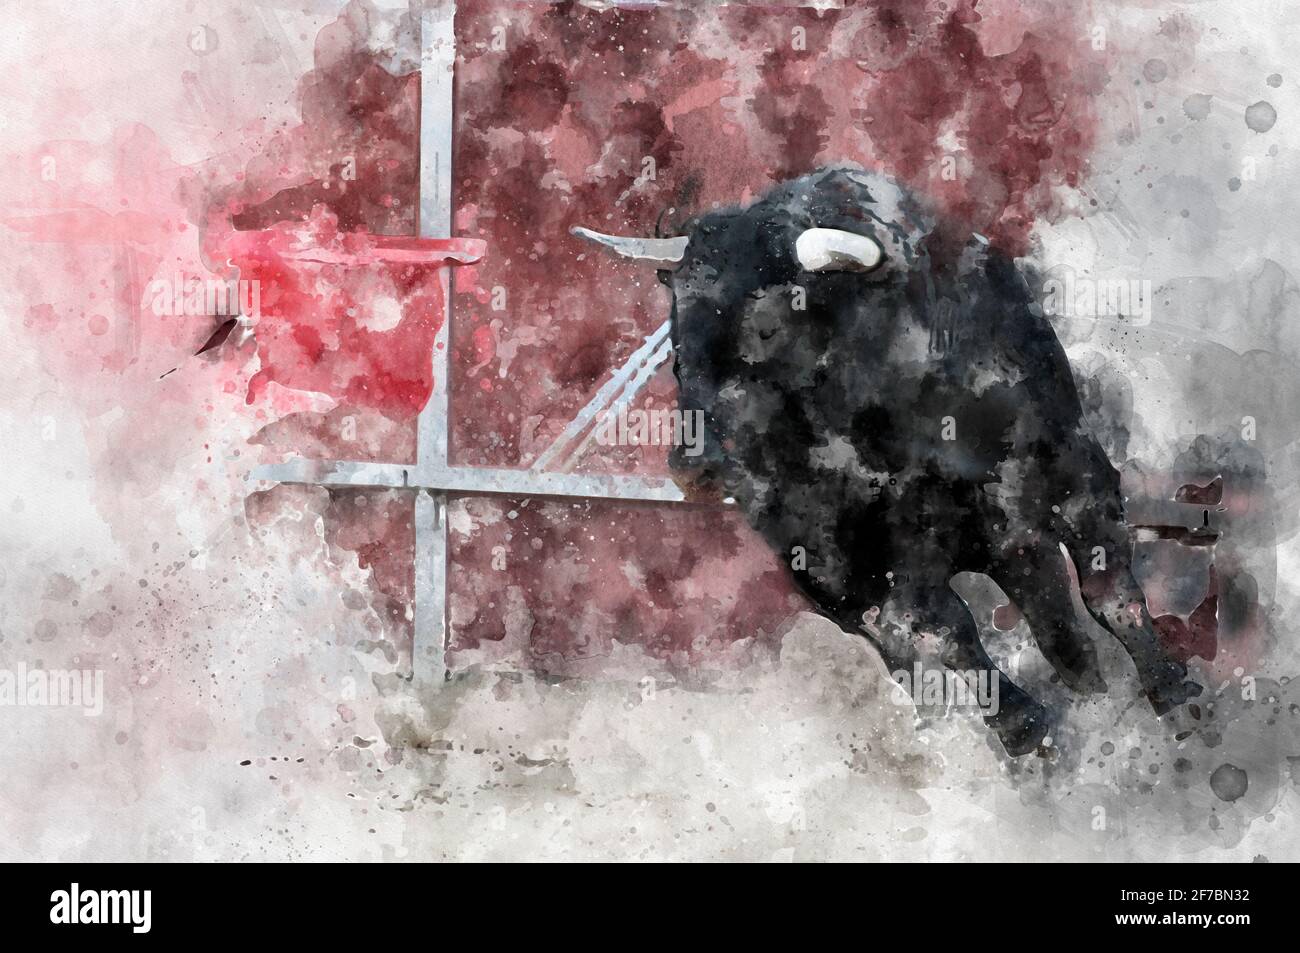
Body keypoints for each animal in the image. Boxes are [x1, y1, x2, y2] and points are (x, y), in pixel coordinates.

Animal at [575, 166, 1201, 756]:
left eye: (767, 324)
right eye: (677, 325)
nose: (692, 467)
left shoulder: (1071, 472)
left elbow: (1107, 590)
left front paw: (1172, 691)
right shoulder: (876, 560)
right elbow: (947, 631)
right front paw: (1025, 726)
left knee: (1043, 599)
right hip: (838, 583)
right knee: (917, 649)